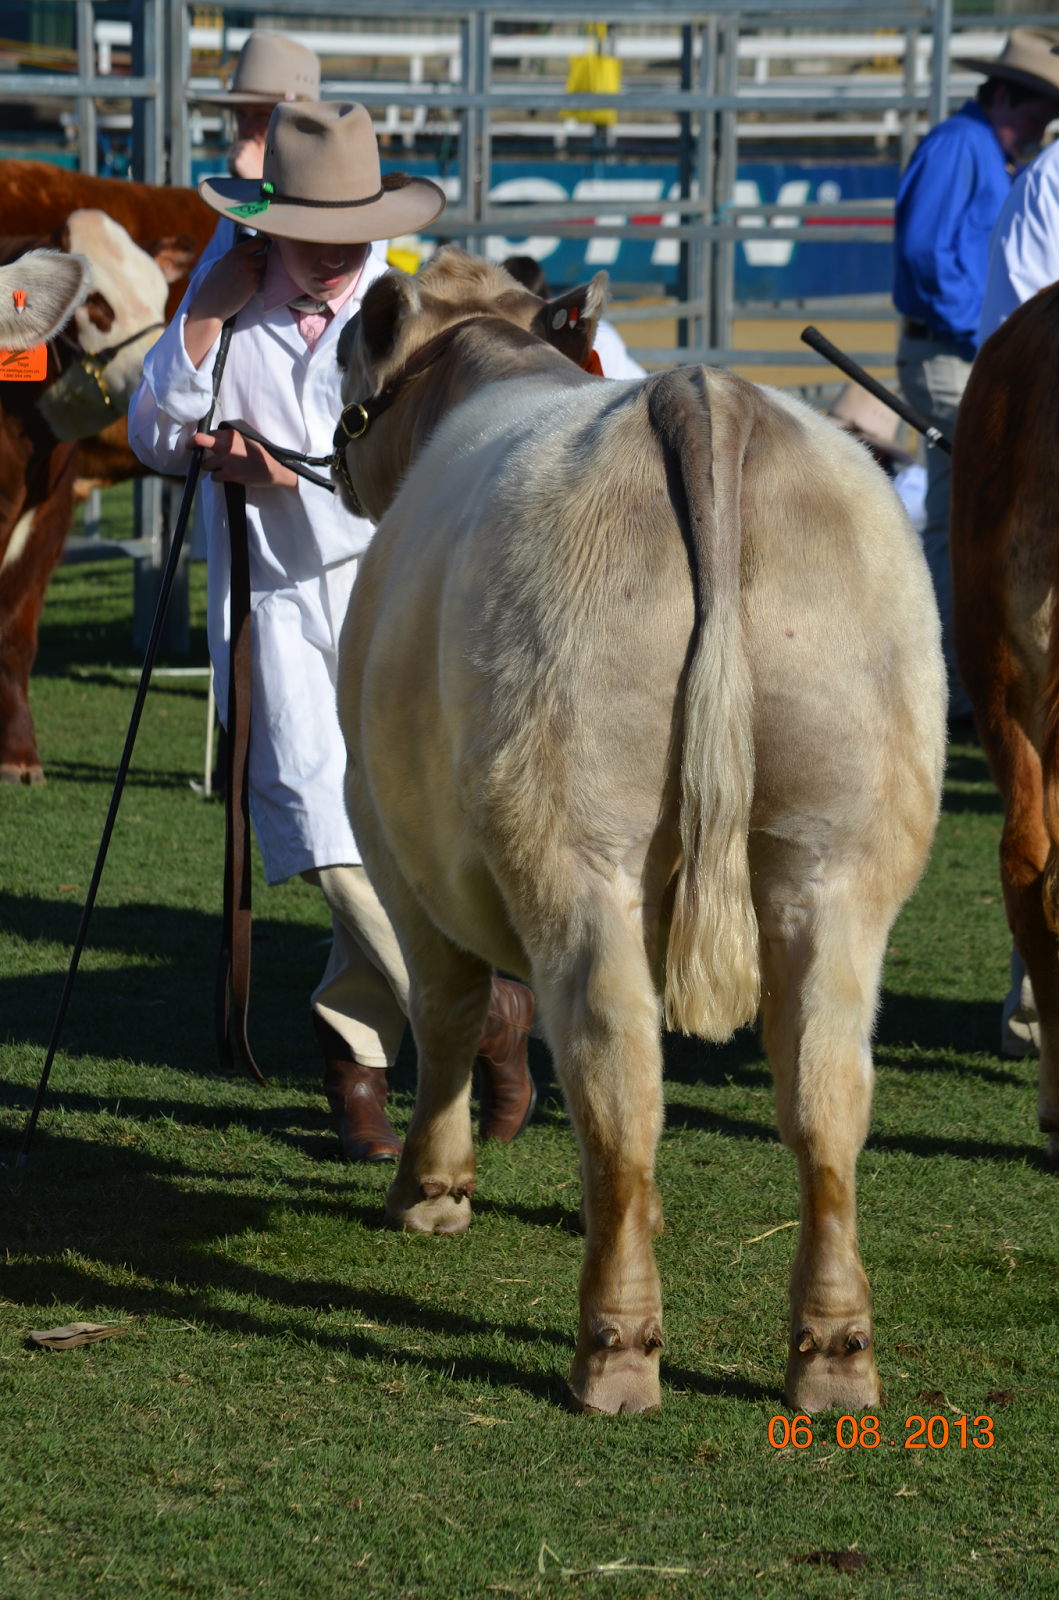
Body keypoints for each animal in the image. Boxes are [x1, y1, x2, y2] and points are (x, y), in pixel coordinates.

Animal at [332, 248, 946, 1414]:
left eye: (348, 351)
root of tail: (704, 393)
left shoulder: (391, 836)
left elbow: (446, 1009)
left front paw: (431, 1189)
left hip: (574, 850)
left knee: (616, 1073)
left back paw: (613, 1350)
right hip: (840, 859)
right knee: (825, 1086)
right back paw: (833, 1355)